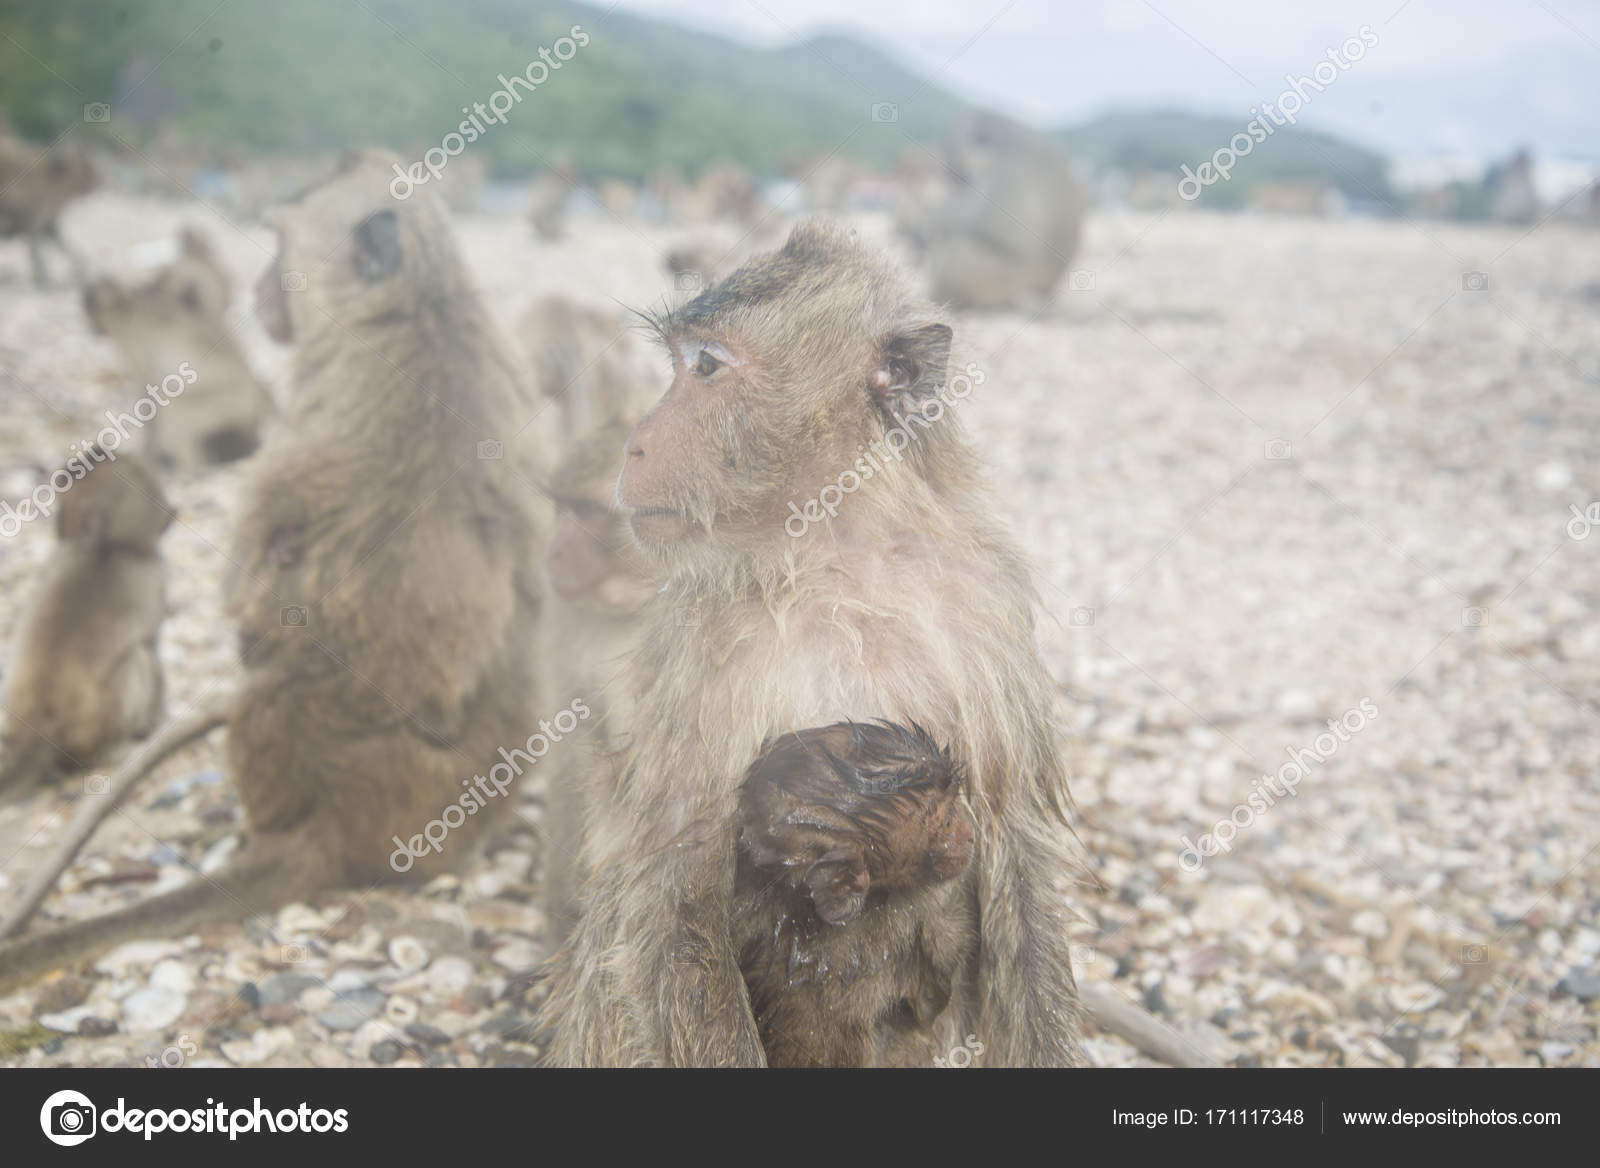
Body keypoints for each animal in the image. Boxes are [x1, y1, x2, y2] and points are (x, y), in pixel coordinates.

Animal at [0, 135, 96, 287]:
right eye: (90, 167)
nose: (99, 180)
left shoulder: (48, 224)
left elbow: (66, 246)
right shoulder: (34, 220)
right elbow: (36, 252)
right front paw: (42, 278)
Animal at [0, 449, 172, 800]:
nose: (59, 529)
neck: (106, 545)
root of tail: (37, 726)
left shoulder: (58, 559)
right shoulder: (153, 577)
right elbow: (152, 649)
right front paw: (157, 721)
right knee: (138, 657)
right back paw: (116, 748)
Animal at [922, 110, 1087, 311]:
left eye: (950, 151)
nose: (950, 174)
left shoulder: (1007, 170)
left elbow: (984, 221)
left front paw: (937, 215)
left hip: (1003, 277)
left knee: (959, 256)